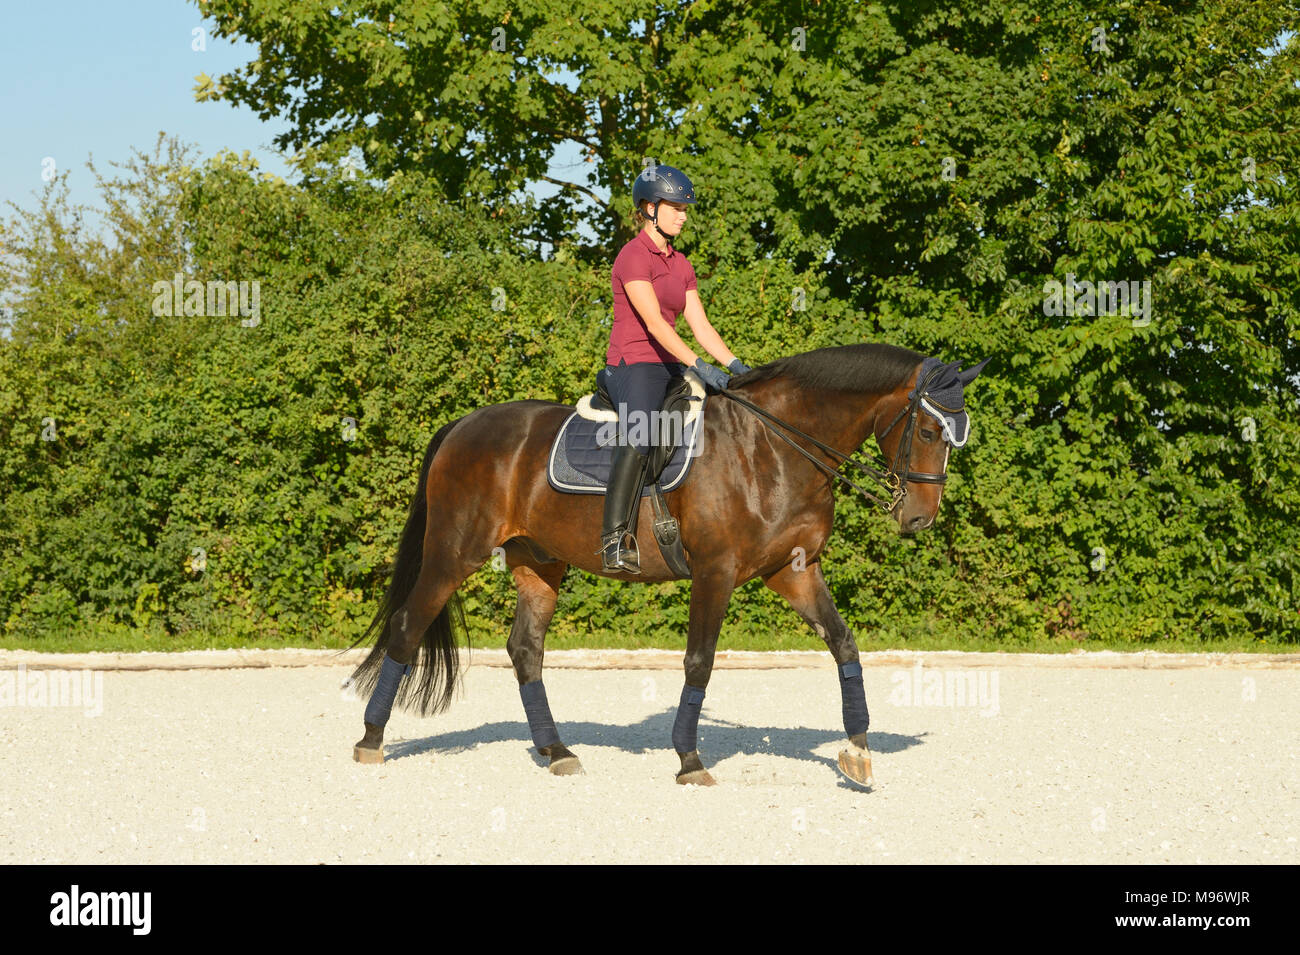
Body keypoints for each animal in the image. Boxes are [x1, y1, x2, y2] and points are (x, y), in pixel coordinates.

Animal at [346, 342, 989, 787]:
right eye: (927, 428)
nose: (918, 519)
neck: (774, 446)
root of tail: (463, 424)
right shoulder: (716, 571)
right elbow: (699, 663)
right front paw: (689, 759)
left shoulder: (794, 569)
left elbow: (844, 644)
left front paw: (857, 749)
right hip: (455, 552)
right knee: (408, 626)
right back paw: (371, 740)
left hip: (539, 563)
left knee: (525, 649)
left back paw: (557, 752)